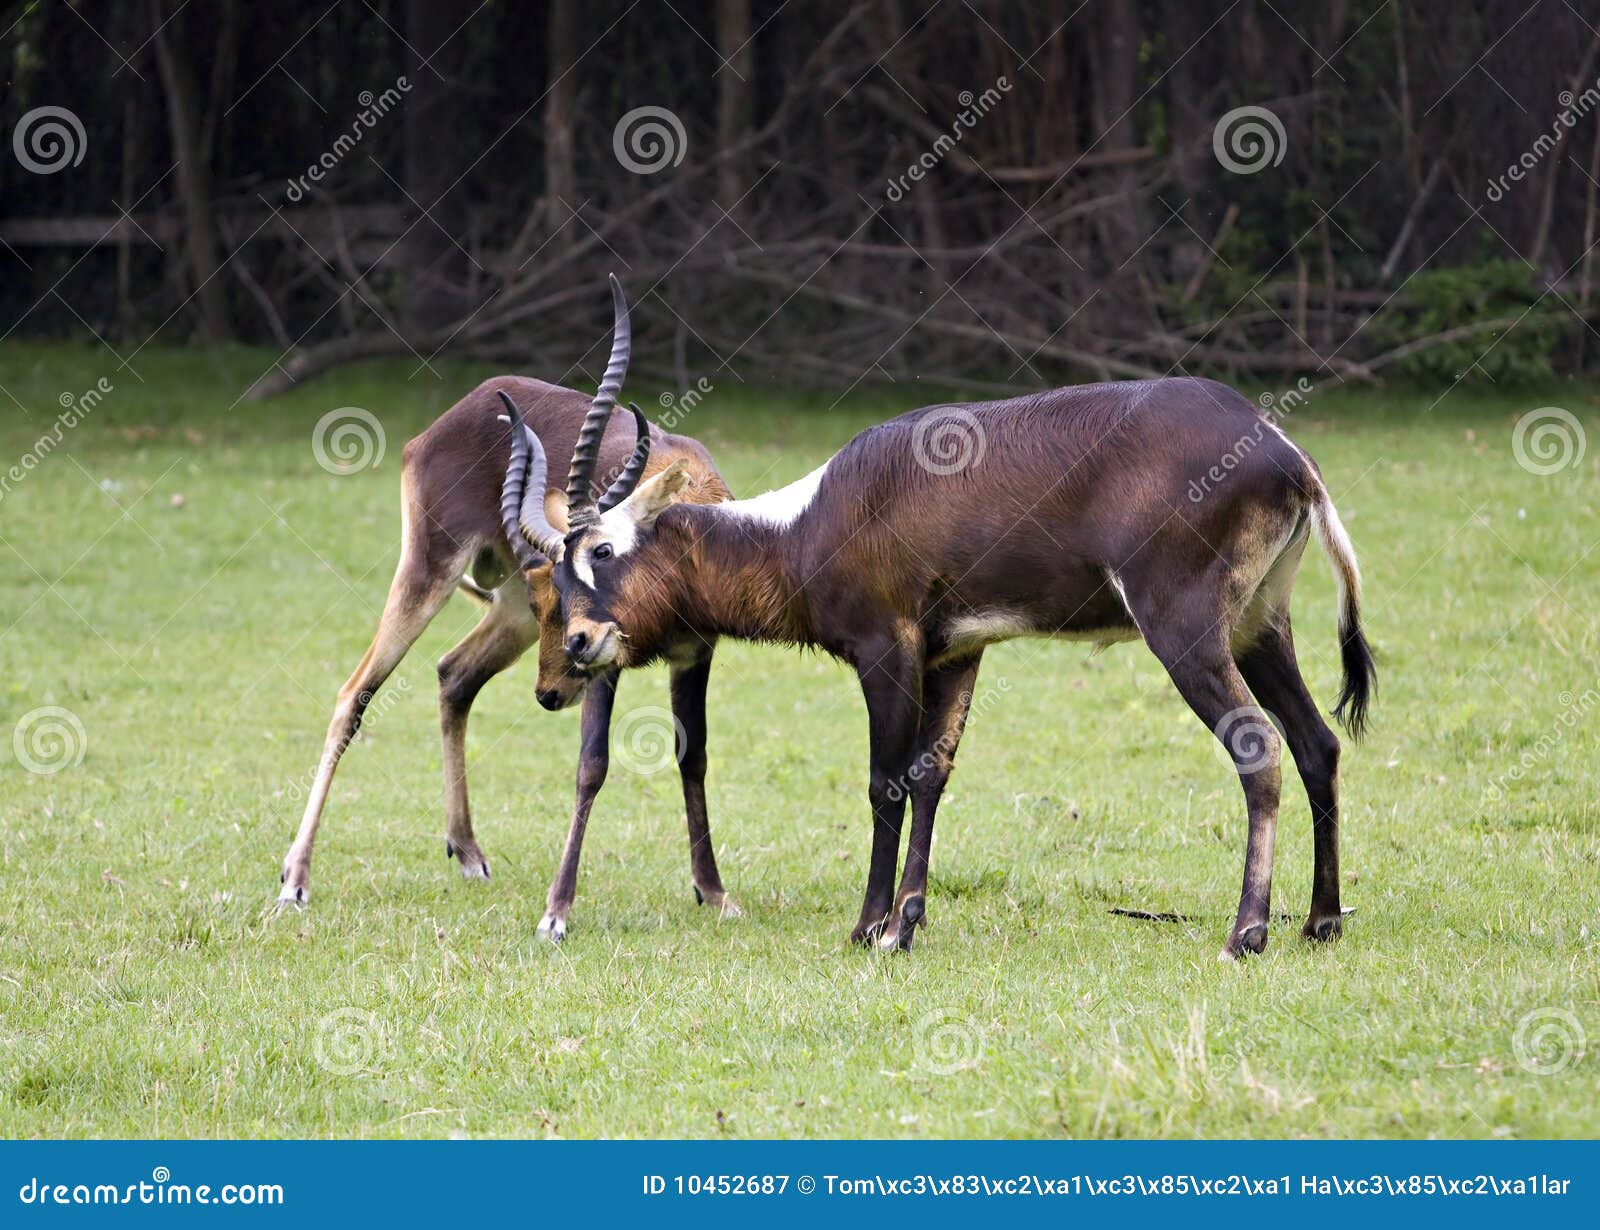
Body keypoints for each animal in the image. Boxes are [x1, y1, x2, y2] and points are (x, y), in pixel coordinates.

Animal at [276, 278, 734, 941]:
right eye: (559, 594)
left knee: (454, 674)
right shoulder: (605, 662)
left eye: (600, 557)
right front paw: (556, 914)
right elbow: (592, 763)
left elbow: (691, 755)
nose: (549, 693)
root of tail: (448, 418)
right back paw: (295, 881)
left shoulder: (693, 653)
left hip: (511, 611)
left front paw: (715, 892)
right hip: (436, 574)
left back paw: (467, 851)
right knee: (354, 694)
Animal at [500, 327, 1375, 959]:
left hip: (1186, 634)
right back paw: (1320, 923)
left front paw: (867, 928)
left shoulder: (886, 652)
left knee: (1258, 745)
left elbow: (884, 782)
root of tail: (1283, 452)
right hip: (1258, 627)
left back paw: (1245, 935)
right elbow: (931, 777)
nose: (577, 646)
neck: (813, 520)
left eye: (602, 550)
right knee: (1316, 742)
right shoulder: (955, 654)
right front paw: (905, 925)